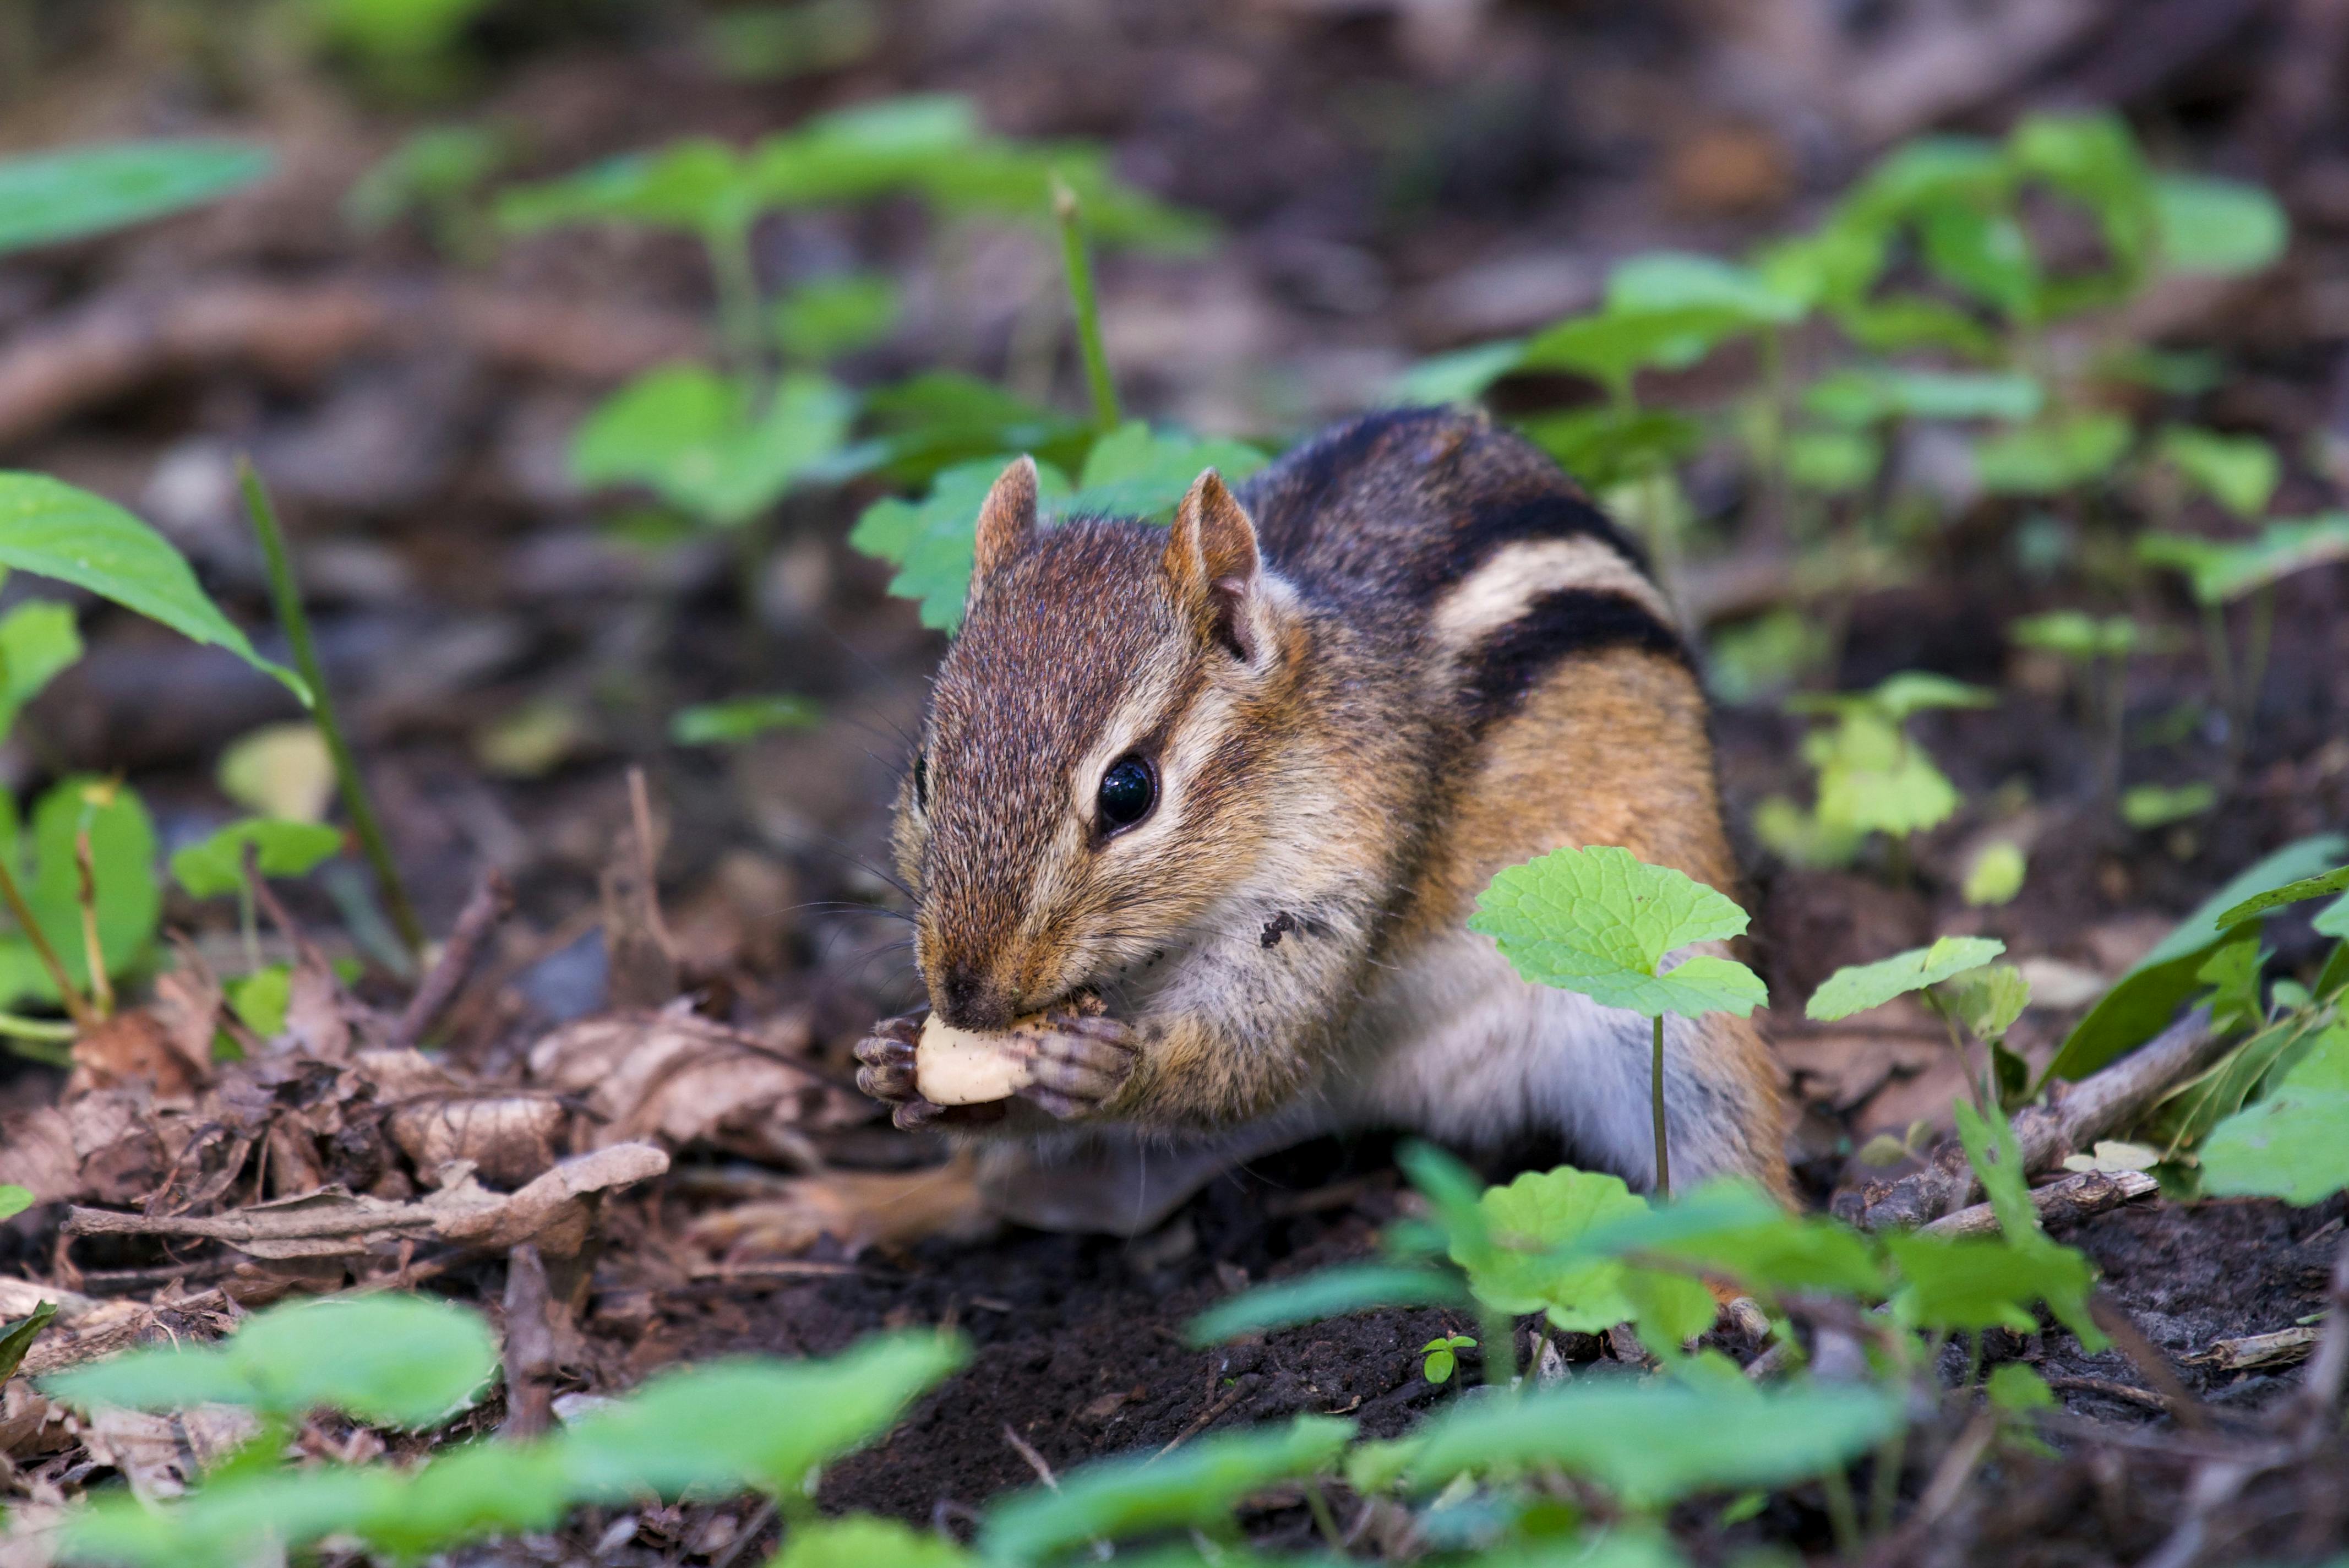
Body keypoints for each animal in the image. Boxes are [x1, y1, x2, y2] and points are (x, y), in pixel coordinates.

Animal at [853, 406, 1790, 1233]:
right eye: (924, 774)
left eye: (1128, 792)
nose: (966, 1001)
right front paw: (897, 1061)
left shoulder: (1337, 887)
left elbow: (1257, 1055)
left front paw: (1106, 1065)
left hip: (1672, 1000)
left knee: (1733, 1175)